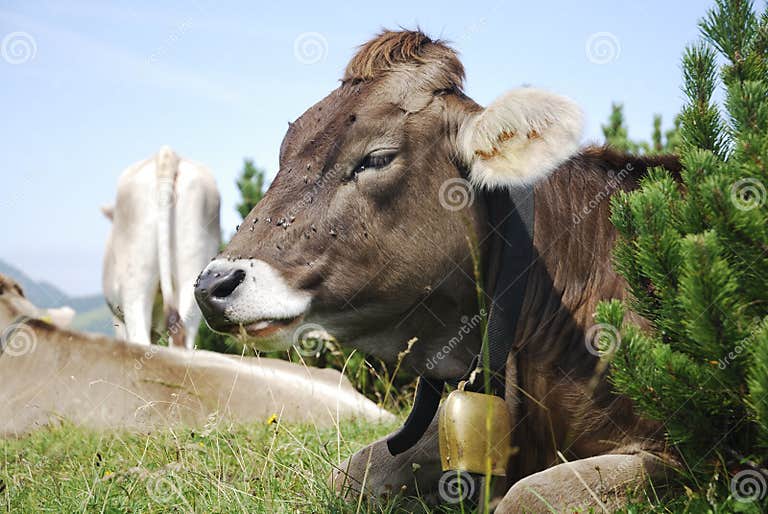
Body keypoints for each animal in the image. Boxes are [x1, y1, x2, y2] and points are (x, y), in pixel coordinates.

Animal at [194, 31, 681, 512]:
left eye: (377, 158)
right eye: (285, 155)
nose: (213, 285)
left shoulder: (677, 455)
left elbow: (528, 498)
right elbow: (352, 473)